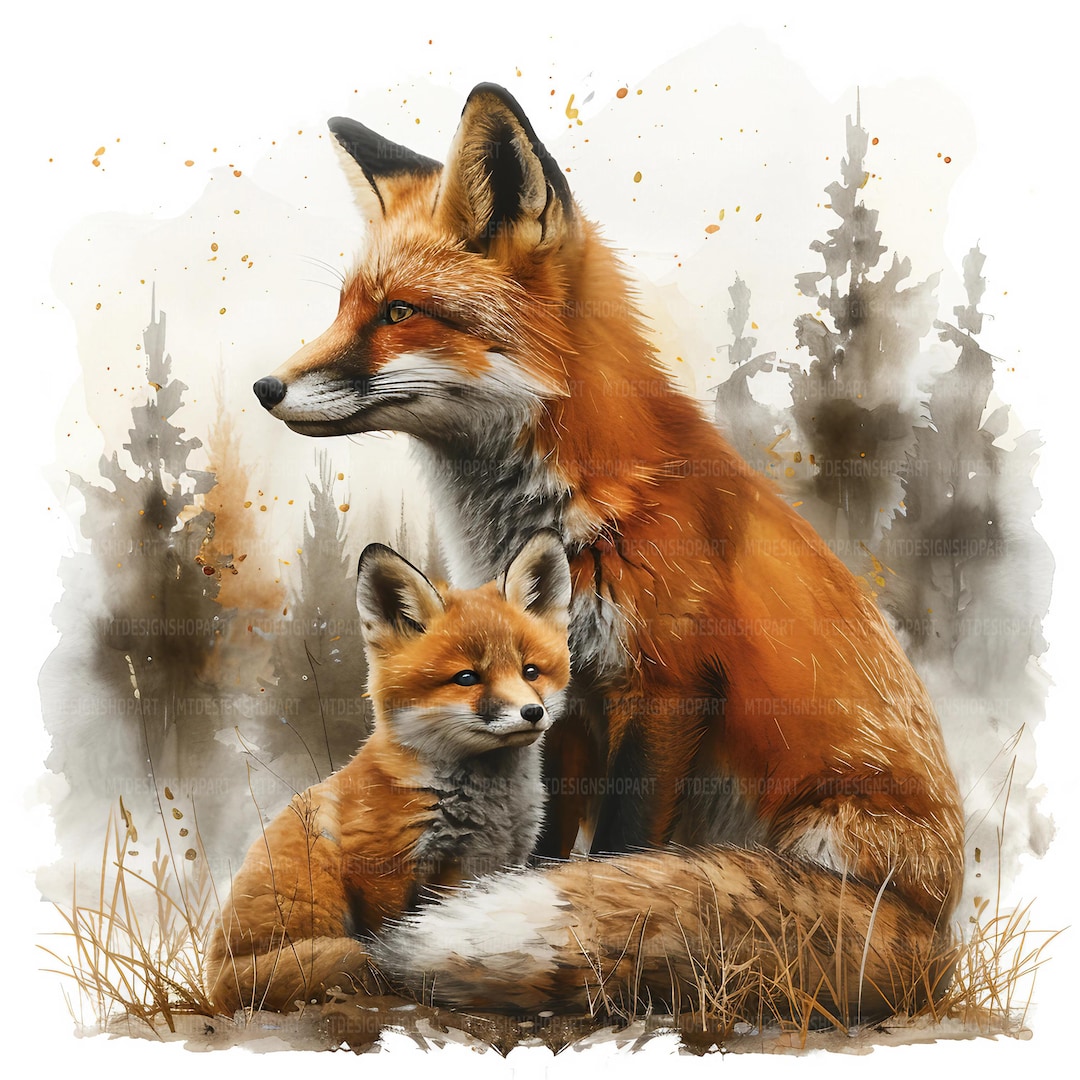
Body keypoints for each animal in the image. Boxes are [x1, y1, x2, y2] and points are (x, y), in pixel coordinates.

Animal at [206, 530, 572, 1014]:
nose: (532, 713)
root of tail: (213, 982)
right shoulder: (381, 867)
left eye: (531, 671)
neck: (487, 806)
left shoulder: (492, 868)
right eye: (466, 678)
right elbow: (394, 934)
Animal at [250, 83, 965, 1022]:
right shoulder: (562, 702)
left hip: (826, 827)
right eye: (342, 309)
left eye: (399, 313)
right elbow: (552, 841)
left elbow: (622, 855)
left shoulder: (665, 690)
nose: (265, 387)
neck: (571, 512)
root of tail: (936, 935)